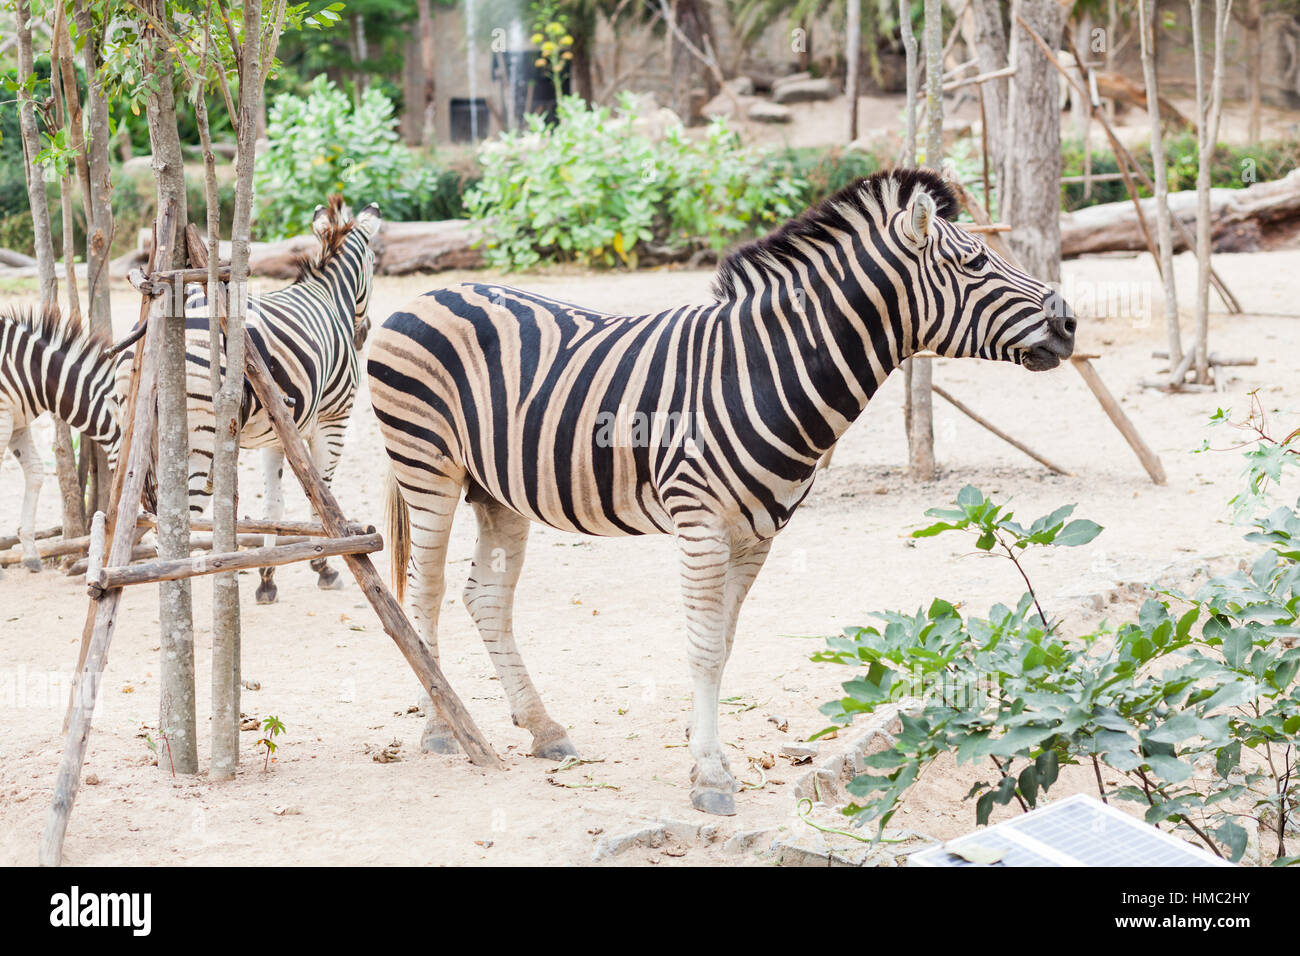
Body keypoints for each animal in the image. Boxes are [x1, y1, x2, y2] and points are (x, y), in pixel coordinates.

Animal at [117, 197, 380, 603]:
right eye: (374, 263)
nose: (364, 333)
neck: (329, 297)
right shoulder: (333, 421)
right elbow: (321, 500)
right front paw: (325, 566)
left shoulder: (278, 433)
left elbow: (275, 504)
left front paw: (267, 577)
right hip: (197, 441)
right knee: (175, 533)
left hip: (136, 434)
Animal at [367, 168, 1075, 814]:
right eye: (975, 262)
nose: (1069, 321)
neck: (764, 372)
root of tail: (425, 294)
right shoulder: (701, 523)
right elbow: (705, 647)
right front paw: (709, 773)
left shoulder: (758, 535)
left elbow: (725, 643)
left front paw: (702, 746)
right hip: (428, 467)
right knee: (424, 592)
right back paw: (441, 728)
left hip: (497, 490)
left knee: (484, 598)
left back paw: (543, 729)